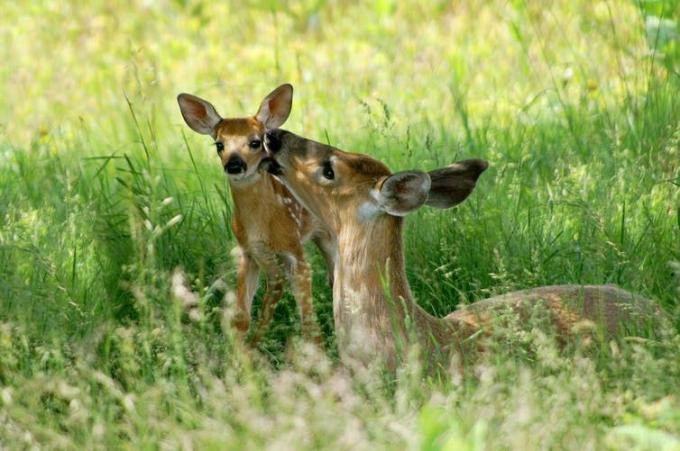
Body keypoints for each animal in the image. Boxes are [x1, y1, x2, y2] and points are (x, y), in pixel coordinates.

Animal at [177, 85, 334, 344]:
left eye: (255, 142)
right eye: (219, 144)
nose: (234, 165)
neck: (261, 224)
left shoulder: (293, 249)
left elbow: (307, 319)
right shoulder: (248, 251)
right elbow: (241, 317)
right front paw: (242, 351)